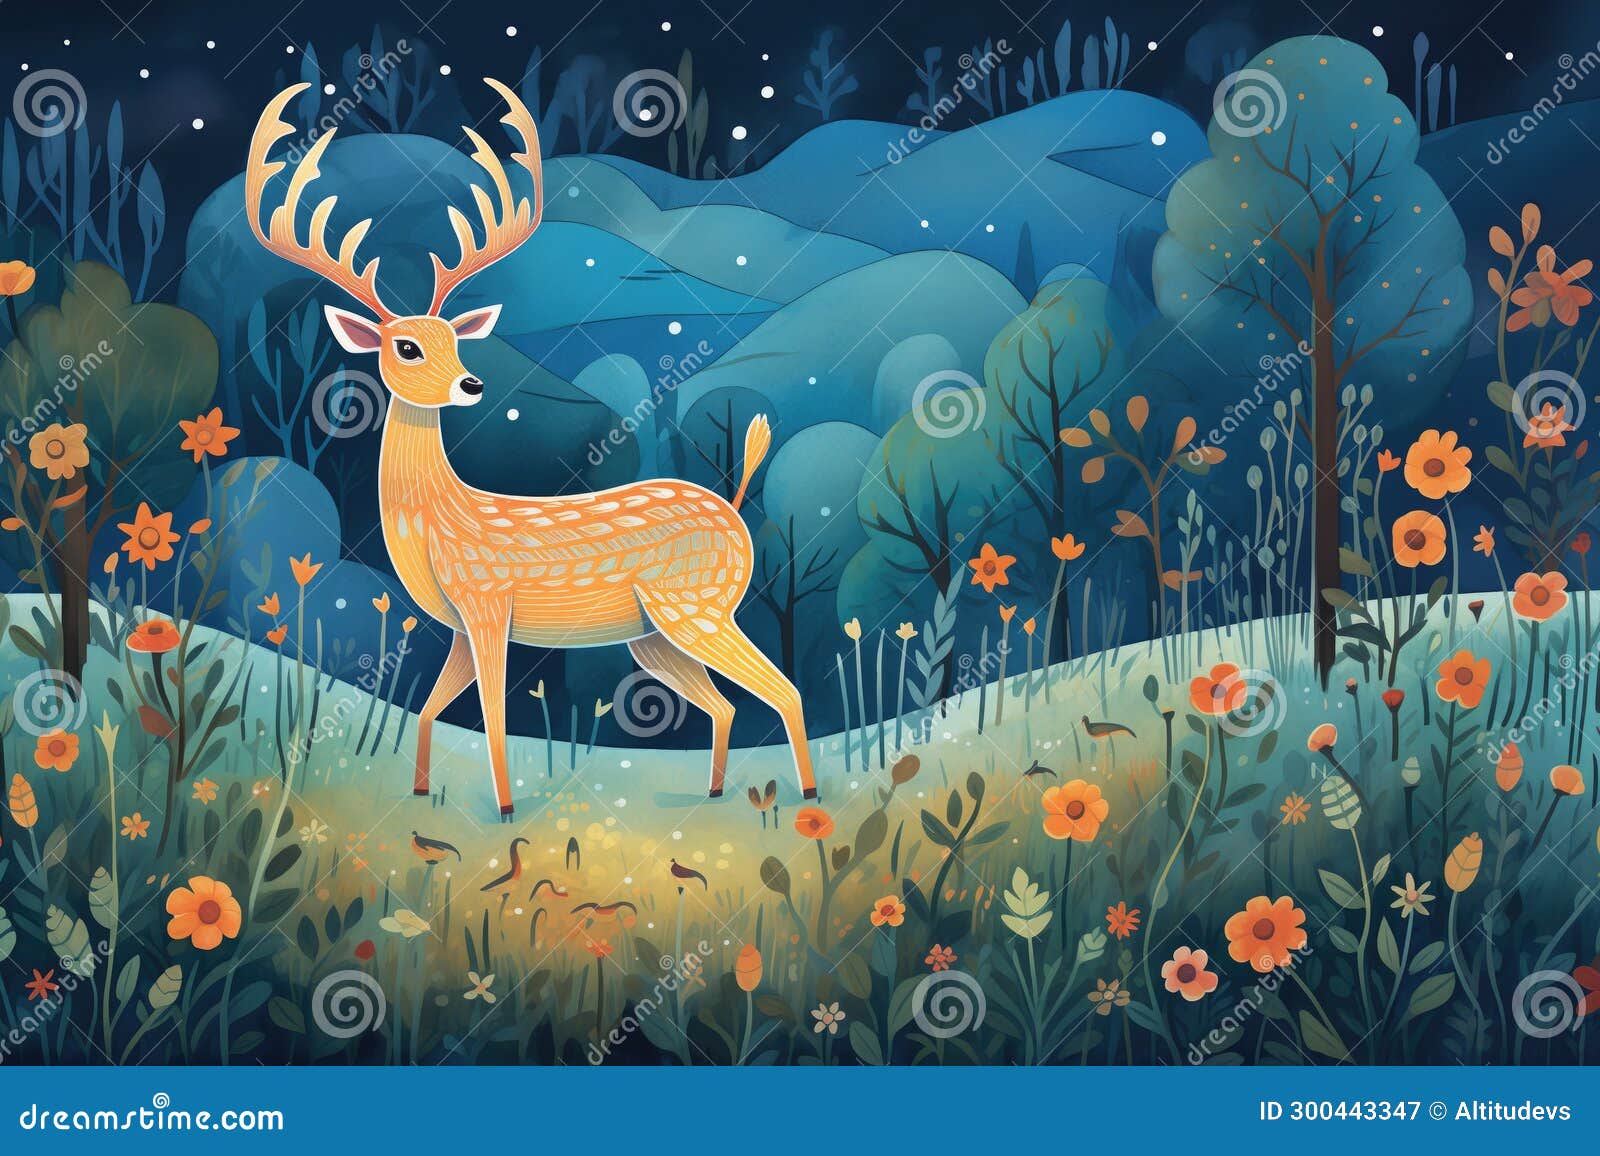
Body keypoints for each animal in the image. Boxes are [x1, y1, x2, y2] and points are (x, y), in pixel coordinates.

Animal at [245, 80, 818, 818]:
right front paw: (422, 790)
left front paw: (507, 807)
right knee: (723, 705)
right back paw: (715, 790)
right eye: (407, 346)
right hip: (656, 638)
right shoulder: (461, 625)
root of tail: (737, 513)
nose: (470, 383)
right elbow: (430, 709)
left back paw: (807, 794)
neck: (440, 522)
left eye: (454, 340)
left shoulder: (489, 603)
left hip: (696, 605)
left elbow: (491, 710)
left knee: (785, 689)